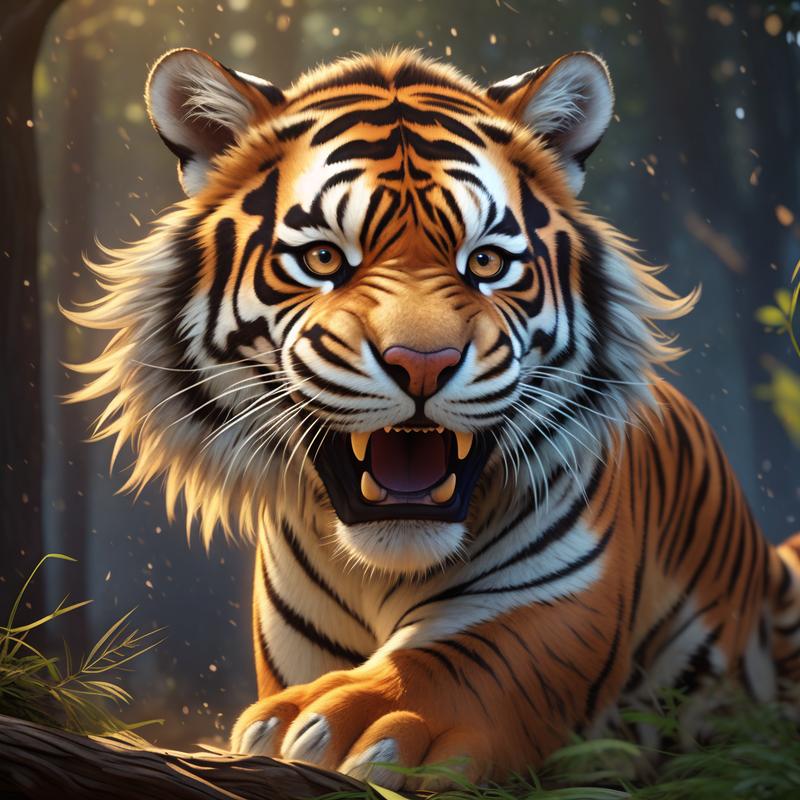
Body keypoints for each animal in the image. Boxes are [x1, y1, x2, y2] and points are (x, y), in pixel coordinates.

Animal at [68, 46, 800, 789]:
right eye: (323, 257)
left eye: (486, 261)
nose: (423, 363)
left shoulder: (558, 599)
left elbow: (463, 657)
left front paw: (339, 722)